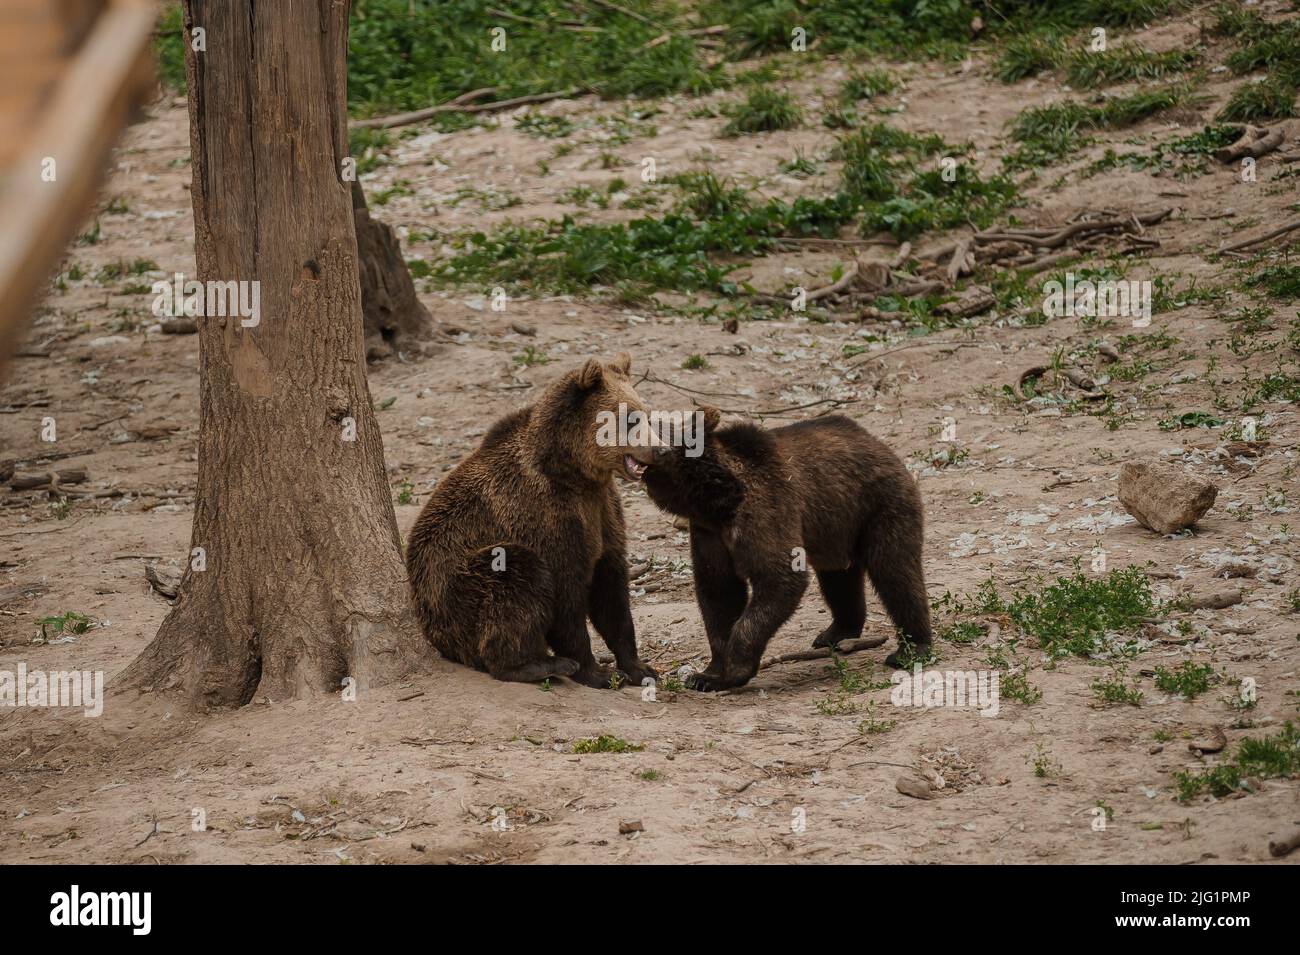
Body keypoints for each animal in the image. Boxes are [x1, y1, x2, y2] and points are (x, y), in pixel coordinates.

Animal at [405, 352, 659, 689]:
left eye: (646, 414)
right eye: (630, 418)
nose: (661, 449)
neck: (575, 473)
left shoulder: (603, 510)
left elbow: (612, 588)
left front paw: (639, 667)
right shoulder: (545, 513)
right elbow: (565, 593)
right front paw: (597, 671)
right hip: (453, 591)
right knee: (514, 576)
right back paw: (539, 664)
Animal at [640, 407, 931, 690]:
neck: (717, 500)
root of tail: (878, 443)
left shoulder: (765, 511)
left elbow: (778, 578)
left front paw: (735, 670)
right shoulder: (708, 534)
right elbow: (719, 593)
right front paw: (707, 675)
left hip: (880, 505)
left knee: (896, 573)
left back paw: (912, 648)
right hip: (837, 528)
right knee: (839, 580)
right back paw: (836, 632)